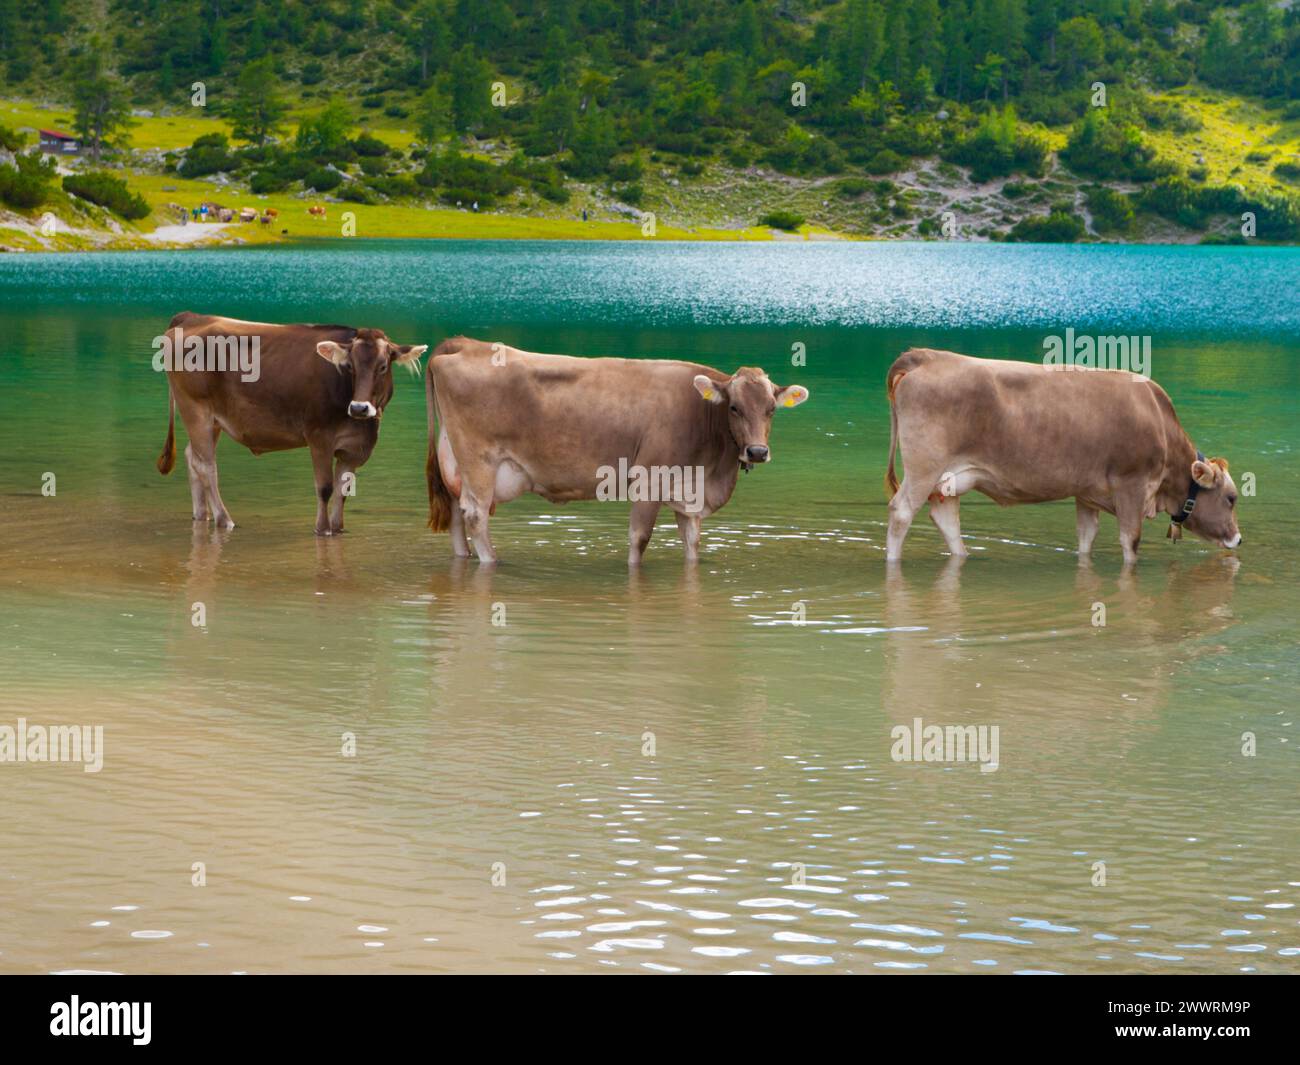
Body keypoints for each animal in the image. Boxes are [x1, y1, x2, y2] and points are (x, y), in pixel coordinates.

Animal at [156, 313, 427, 535]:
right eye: (350, 366)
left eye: (383, 366)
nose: (359, 407)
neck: (361, 425)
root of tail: (192, 317)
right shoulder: (319, 437)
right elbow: (325, 487)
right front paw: (322, 529)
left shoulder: (352, 449)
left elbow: (343, 491)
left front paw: (338, 528)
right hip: (195, 408)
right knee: (206, 465)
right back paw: (225, 519)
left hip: (213, 420)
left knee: (192, 456)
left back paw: (202, 515)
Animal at [424, 337, 810, 564]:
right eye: (734, 407)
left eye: (771, 409)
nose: (757, 451)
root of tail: (467, 343)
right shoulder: (649, 481)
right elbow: (639, 540)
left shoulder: (688, 493)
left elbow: (692, 543)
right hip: (479, 461)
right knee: (475, 514)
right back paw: (492, 561)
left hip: (454, 461)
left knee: (456, 512)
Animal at [883, 348, 1242, 565]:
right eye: (1231, 498)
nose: (1238, 539)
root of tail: (927, 356)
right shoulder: (1132, 484)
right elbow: (1131, 541)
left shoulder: (1087, 492)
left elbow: (1086, 538)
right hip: (924, 466)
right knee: (901, 512)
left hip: (950, 478)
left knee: (945, 518)